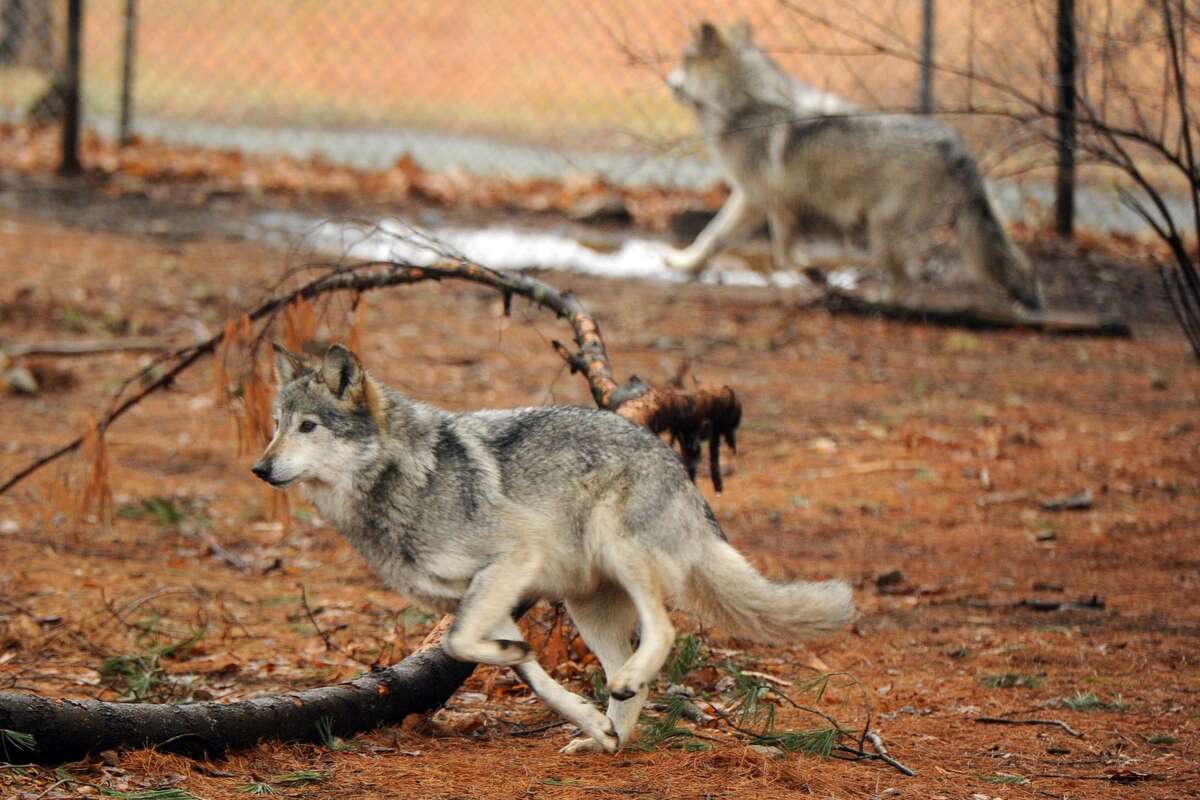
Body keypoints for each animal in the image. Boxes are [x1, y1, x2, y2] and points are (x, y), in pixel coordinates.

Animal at [252, 343, 854, 754]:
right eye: (276, 424)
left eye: (309, 426)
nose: (260, 468)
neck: (403, 479)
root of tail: (677, 467)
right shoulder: (481, 598)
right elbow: (523, 668)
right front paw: (583, 717)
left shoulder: (512, 563)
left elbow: (456, 645)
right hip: (585, 606)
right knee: (626, 675)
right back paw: (609, 741)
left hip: (620, 553)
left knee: (662, 633)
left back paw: (627, 691)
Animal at [666, 21, 1044, 310]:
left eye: (684, 61)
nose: (668, 82)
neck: (742, 104)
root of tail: (957, 146)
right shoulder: (774, 205)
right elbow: (753, 247)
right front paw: (684, 263)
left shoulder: (757, 201)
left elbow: (727, 239)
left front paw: (811, 272)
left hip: (882, 227)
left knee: (905, 282)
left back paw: (874, 302)